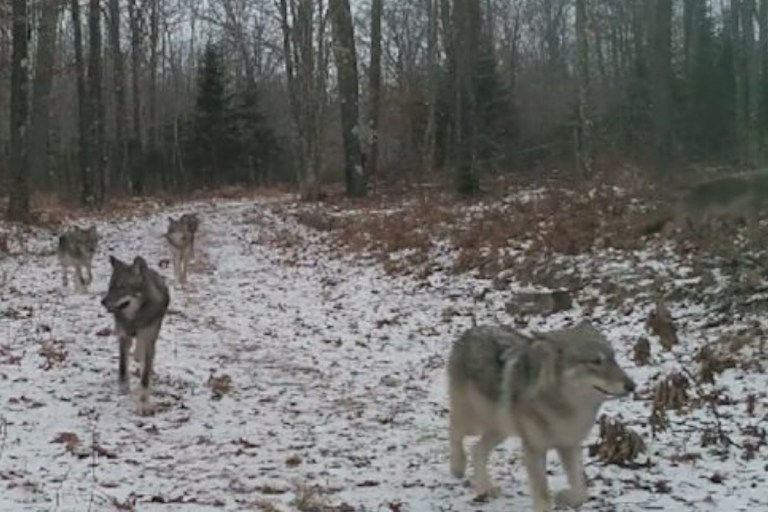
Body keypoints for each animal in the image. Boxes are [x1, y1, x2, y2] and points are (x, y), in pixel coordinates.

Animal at [101, 255, 170, 416]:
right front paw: (123, 388)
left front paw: (143, 403)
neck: (135, 318)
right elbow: (122, 366)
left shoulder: (150, 339)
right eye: (110, 286)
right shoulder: (123, 336)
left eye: (122, 287)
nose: (103, 302)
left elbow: (145, 376)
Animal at [447, 320, 636, 512]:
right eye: (596, 361)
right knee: (453, 430)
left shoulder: (569, 446)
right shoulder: (534, 449)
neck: (563, 407)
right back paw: (457, 467)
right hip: (473, 422)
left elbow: (581, 492)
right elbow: (542, 492)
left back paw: (486, 488)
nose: (632, 386)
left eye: (614, 358)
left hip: (500, 429)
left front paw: (564, 497)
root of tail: (472, 330)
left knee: (476, 450)